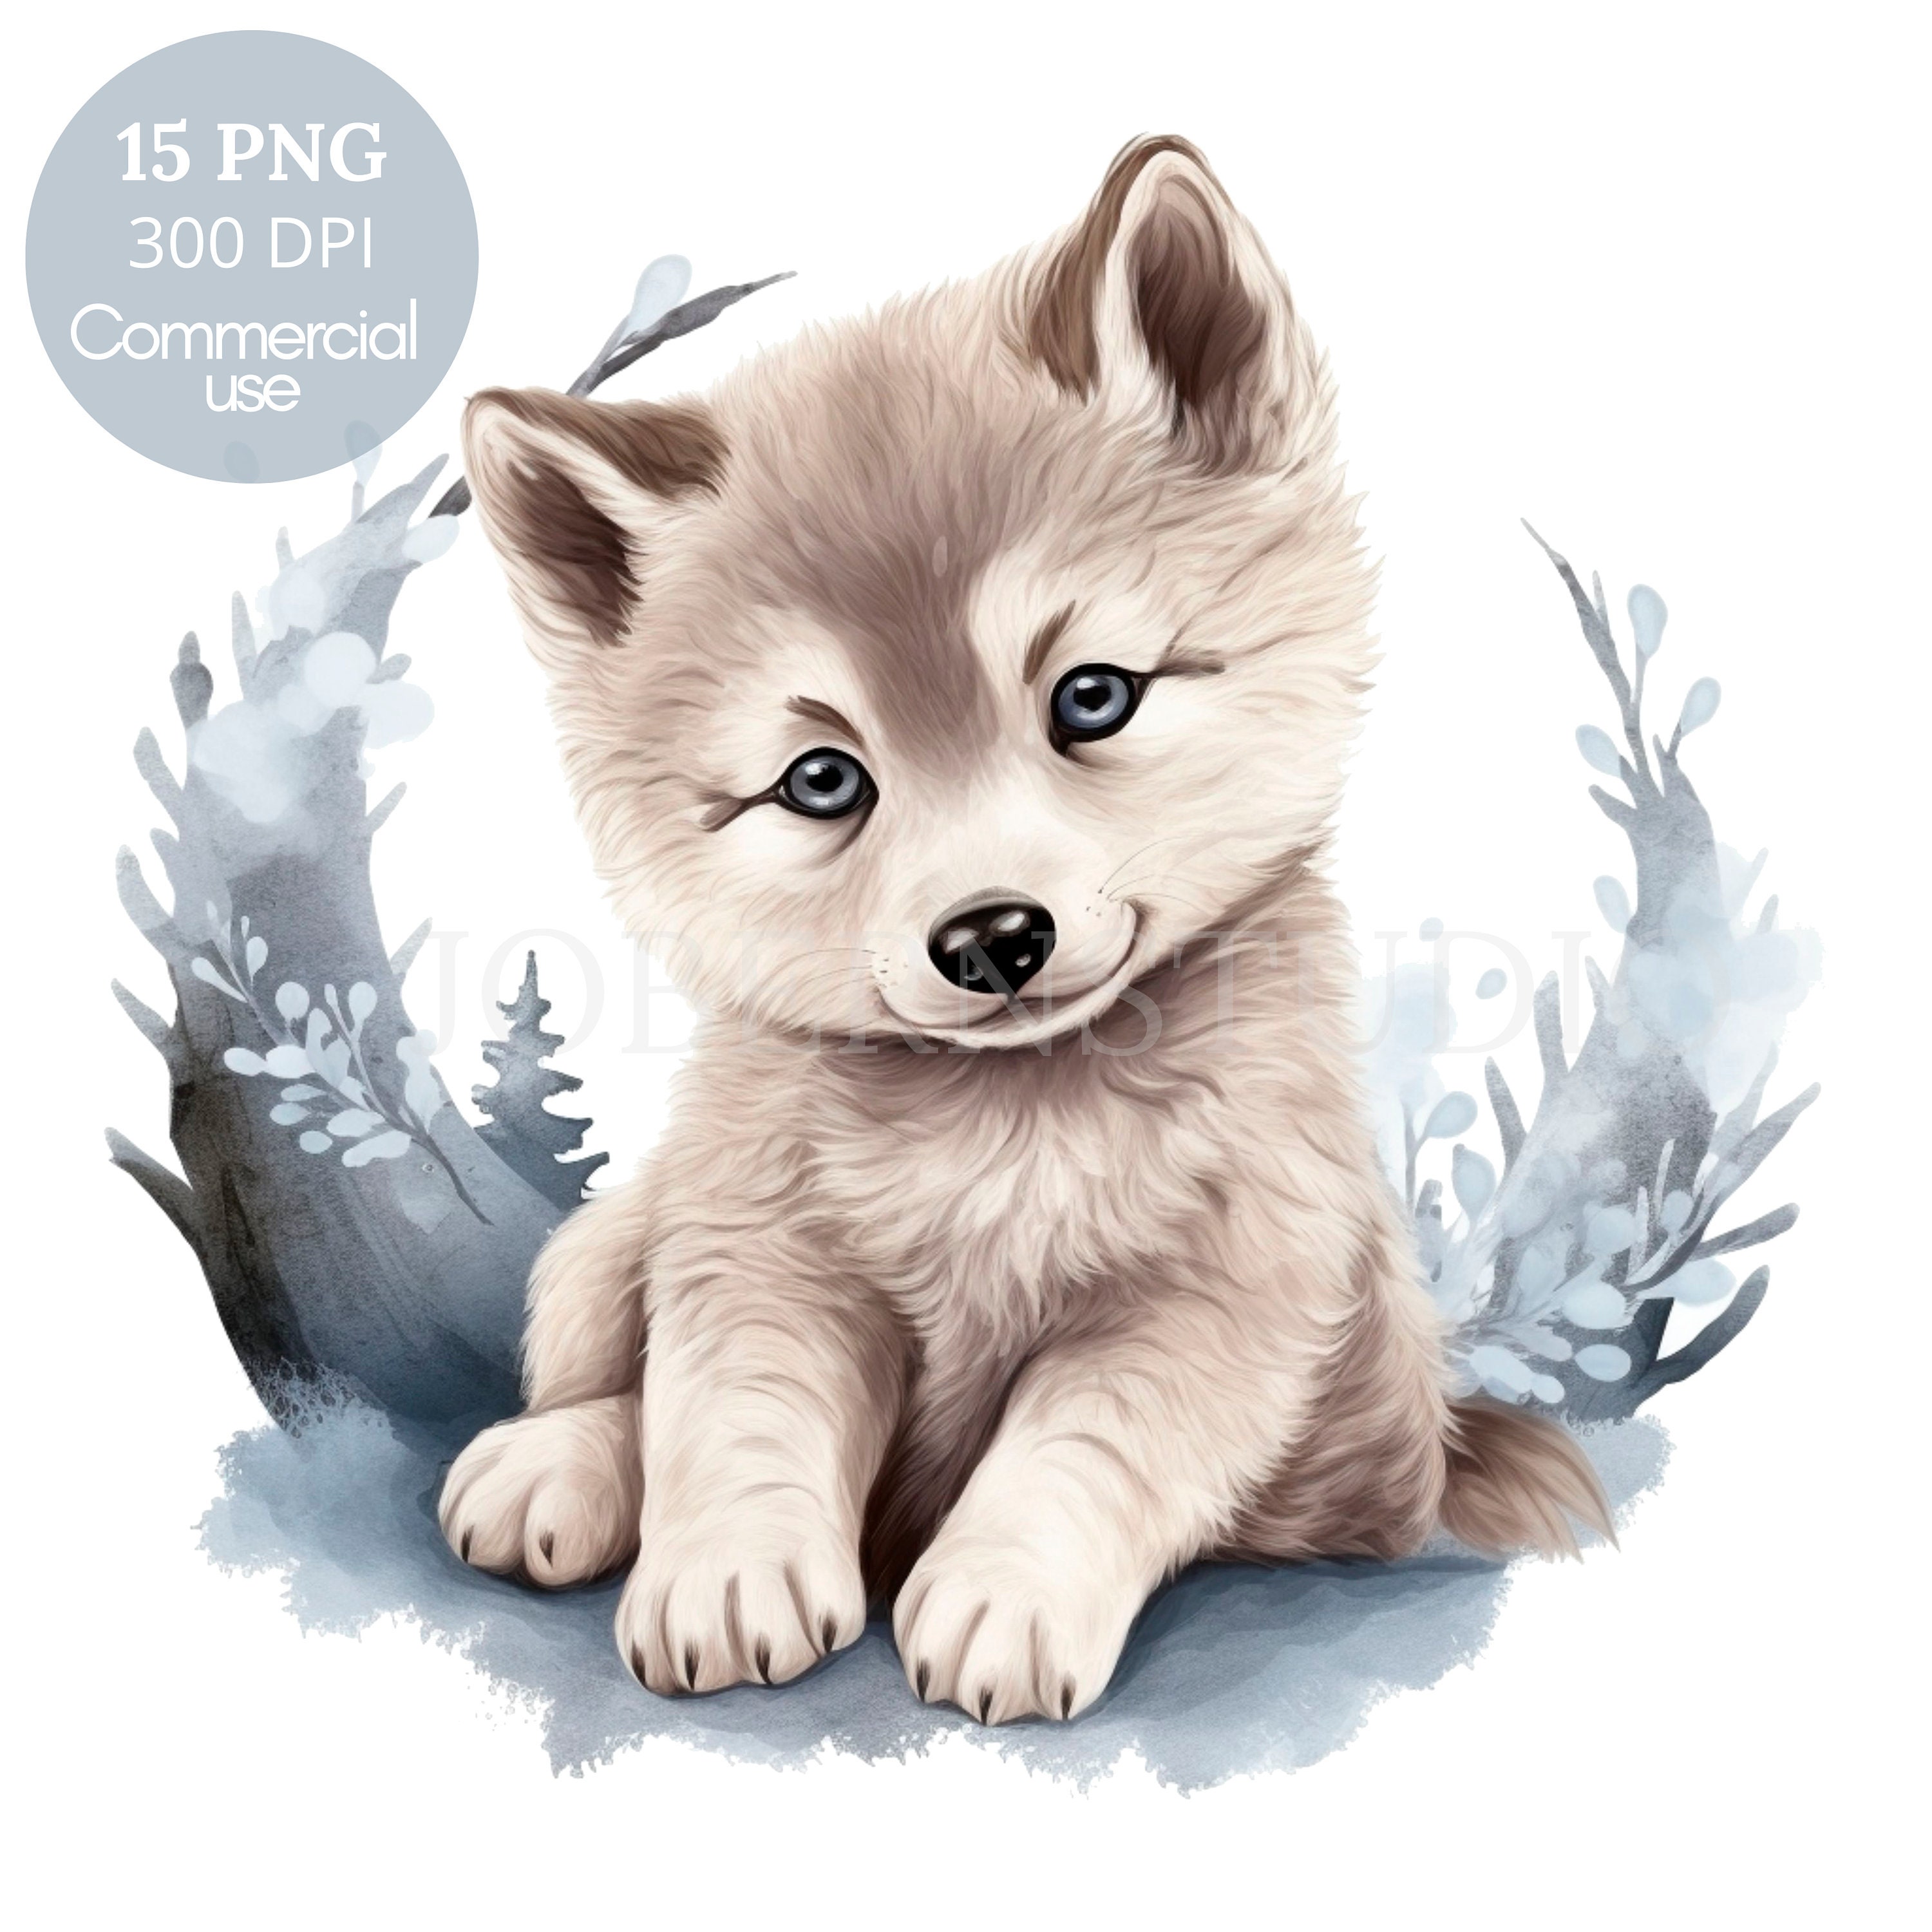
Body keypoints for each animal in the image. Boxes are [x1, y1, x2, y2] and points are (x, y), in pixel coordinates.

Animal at [439, 135, 1611, 1724]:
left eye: (1093, 696)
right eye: (823, 780)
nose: (993, 936)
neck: (997, 1133)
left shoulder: (1226, 1283)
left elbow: (1085, 1445)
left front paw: (1007, 1596)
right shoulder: (760, 1248)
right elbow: (734, 1408)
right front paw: (731, 1568)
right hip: (608, 1247)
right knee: (615, 1368)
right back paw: (555, 1462)